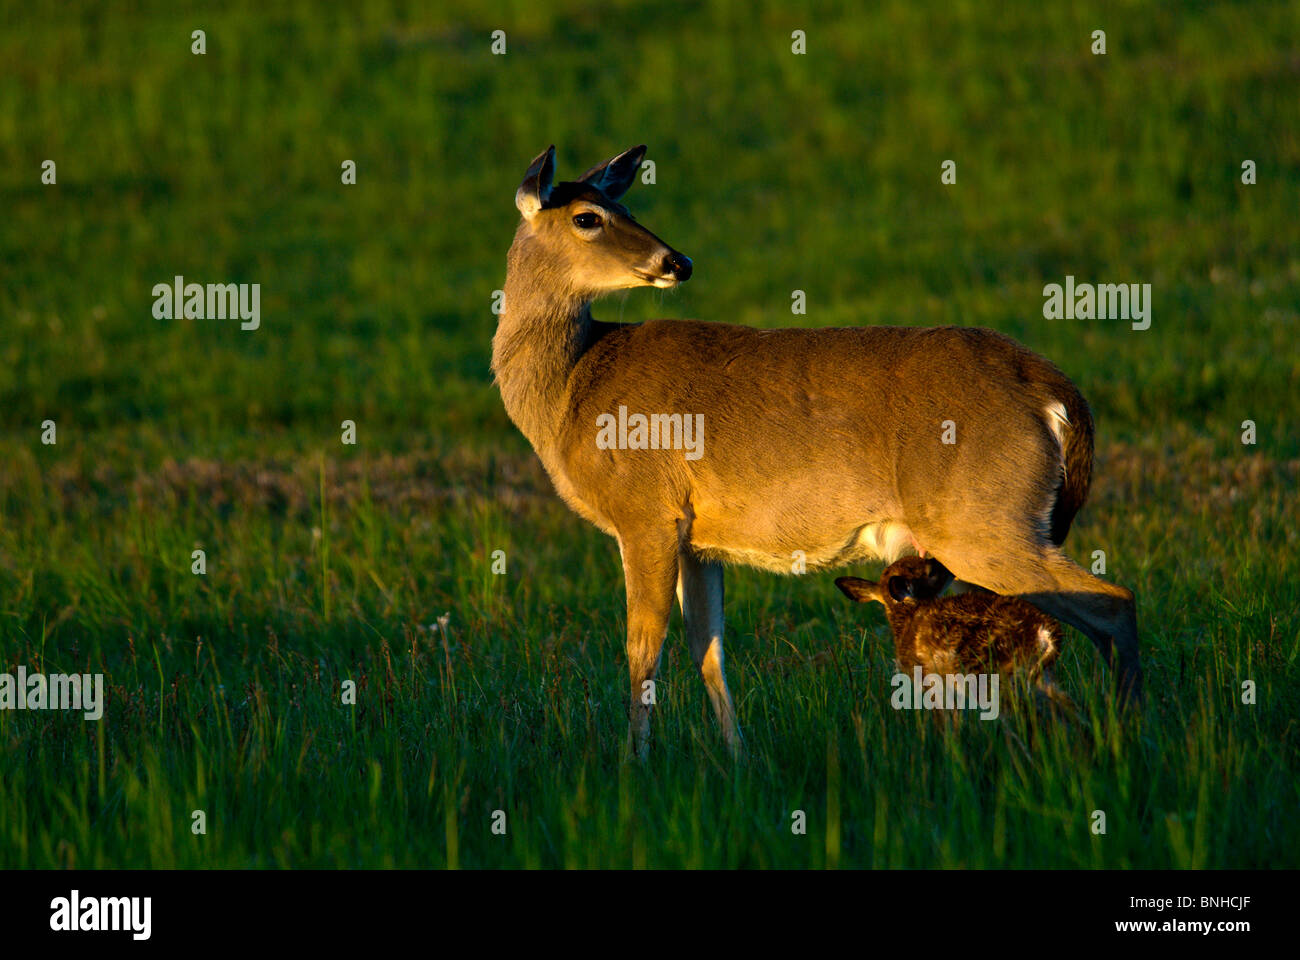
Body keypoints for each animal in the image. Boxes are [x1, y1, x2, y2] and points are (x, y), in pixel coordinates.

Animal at [492, 144, 1141, 758]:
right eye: (589, 216)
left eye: (622, 209)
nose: (678, 262)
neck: (573, 391)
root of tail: (1055, 389)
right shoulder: (697, 537)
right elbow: (710, 648)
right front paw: (738, 759)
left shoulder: (644, 513)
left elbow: (641, 650)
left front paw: (637, 765)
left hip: (982, 518)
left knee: (1114, 601)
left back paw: (1131, 734)